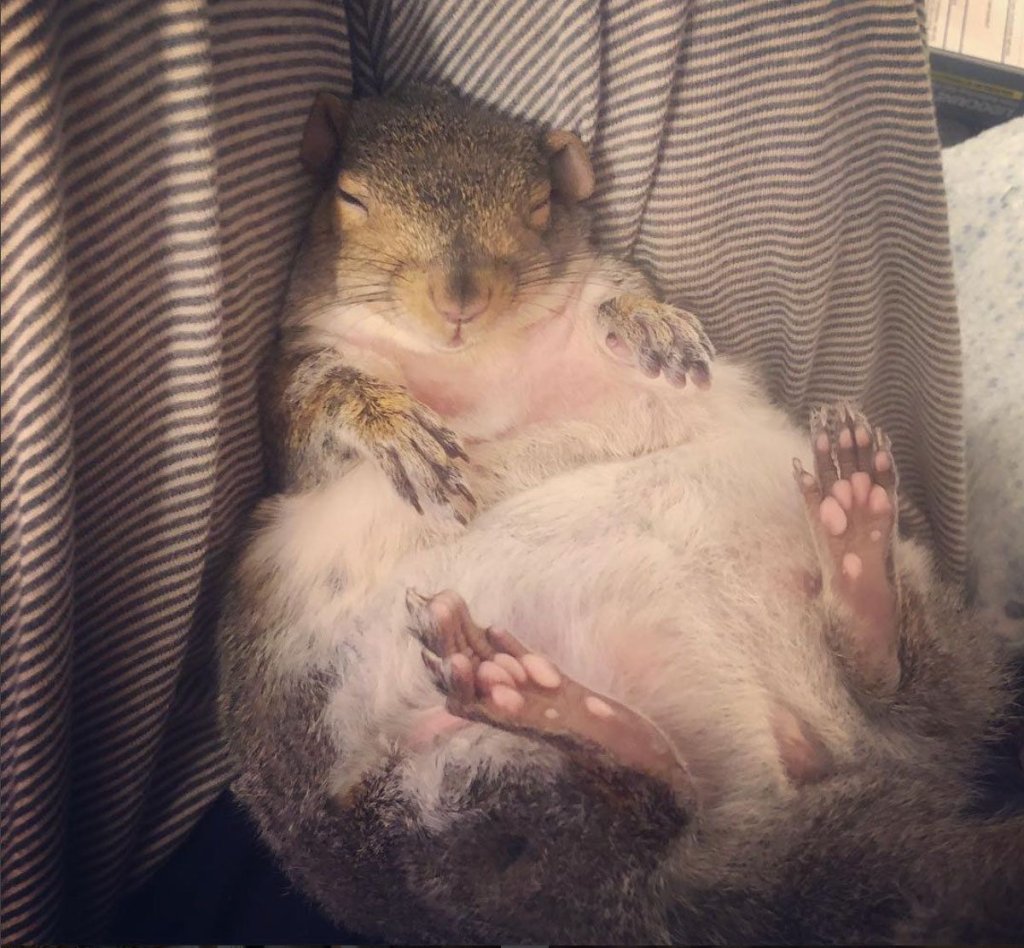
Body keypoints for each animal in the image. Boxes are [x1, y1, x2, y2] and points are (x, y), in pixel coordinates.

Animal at [217, 87, 1024, 943]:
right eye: (348, 197)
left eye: (540, 204)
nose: (459, 297)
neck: (470, 362)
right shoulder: (295, 414)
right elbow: (321, 401)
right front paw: (391, 424)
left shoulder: (596, 279)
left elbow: (623, 291)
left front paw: (651, 322)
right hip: (461, 815)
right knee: (650, 800)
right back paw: (542, 700)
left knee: (885, 685)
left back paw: (855, 539)